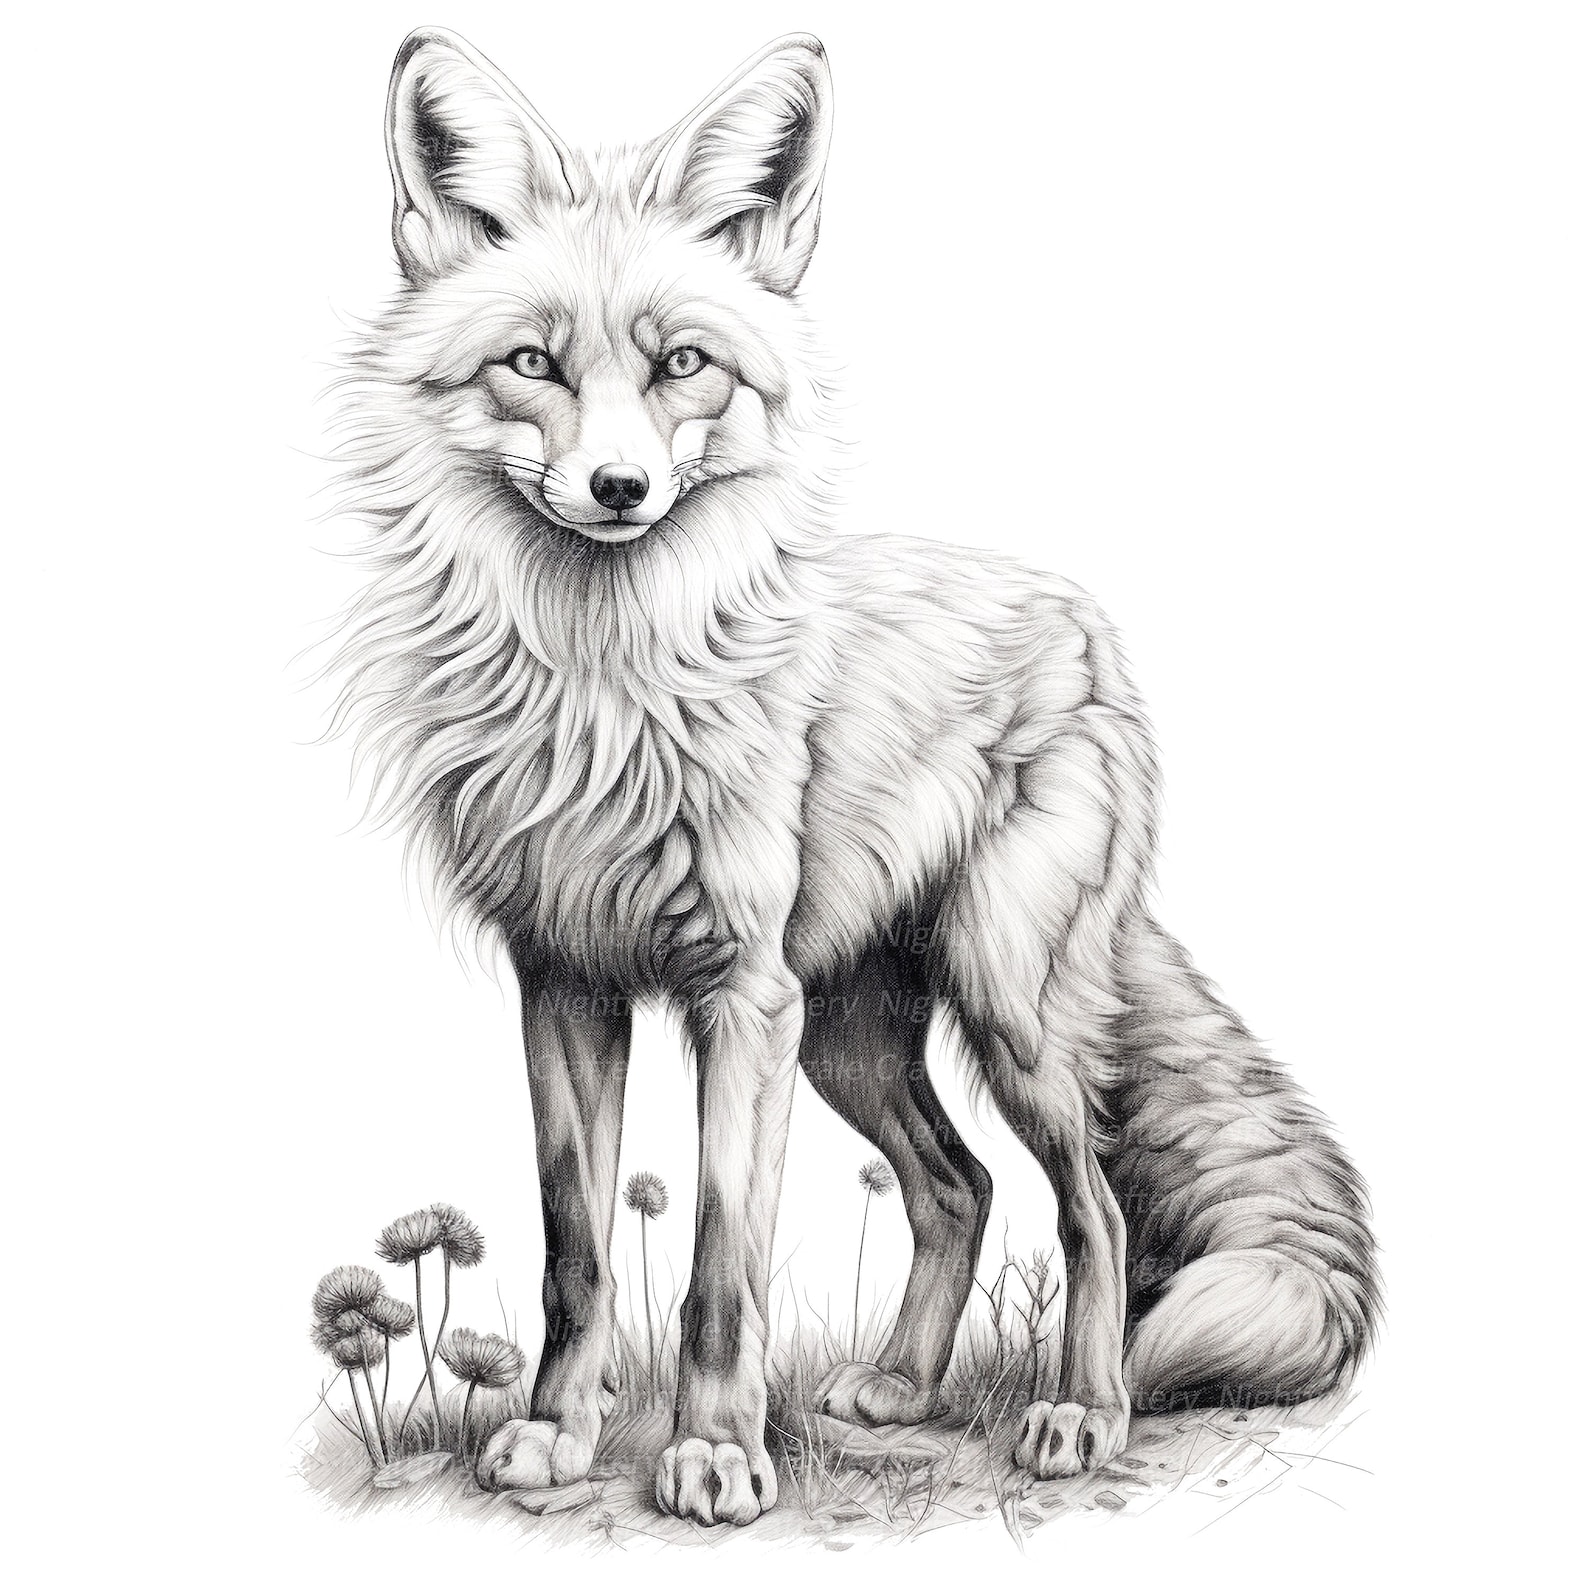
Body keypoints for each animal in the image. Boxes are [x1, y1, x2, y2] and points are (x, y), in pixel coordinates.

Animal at [330, 28, 1379, 1527]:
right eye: (531, 362)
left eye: (685, 364)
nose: (618, 488)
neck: (607, 690)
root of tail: (1084, 624)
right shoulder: (565, 980)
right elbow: (576, 1246)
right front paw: (557, 1434)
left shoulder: (738, 995)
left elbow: (720, 1262)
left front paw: (713, 1455)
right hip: (850, 1030)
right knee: (959, 1186)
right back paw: (904, 1386)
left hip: (998, 1002)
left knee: (1094, 1205)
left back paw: (1083, 1409)